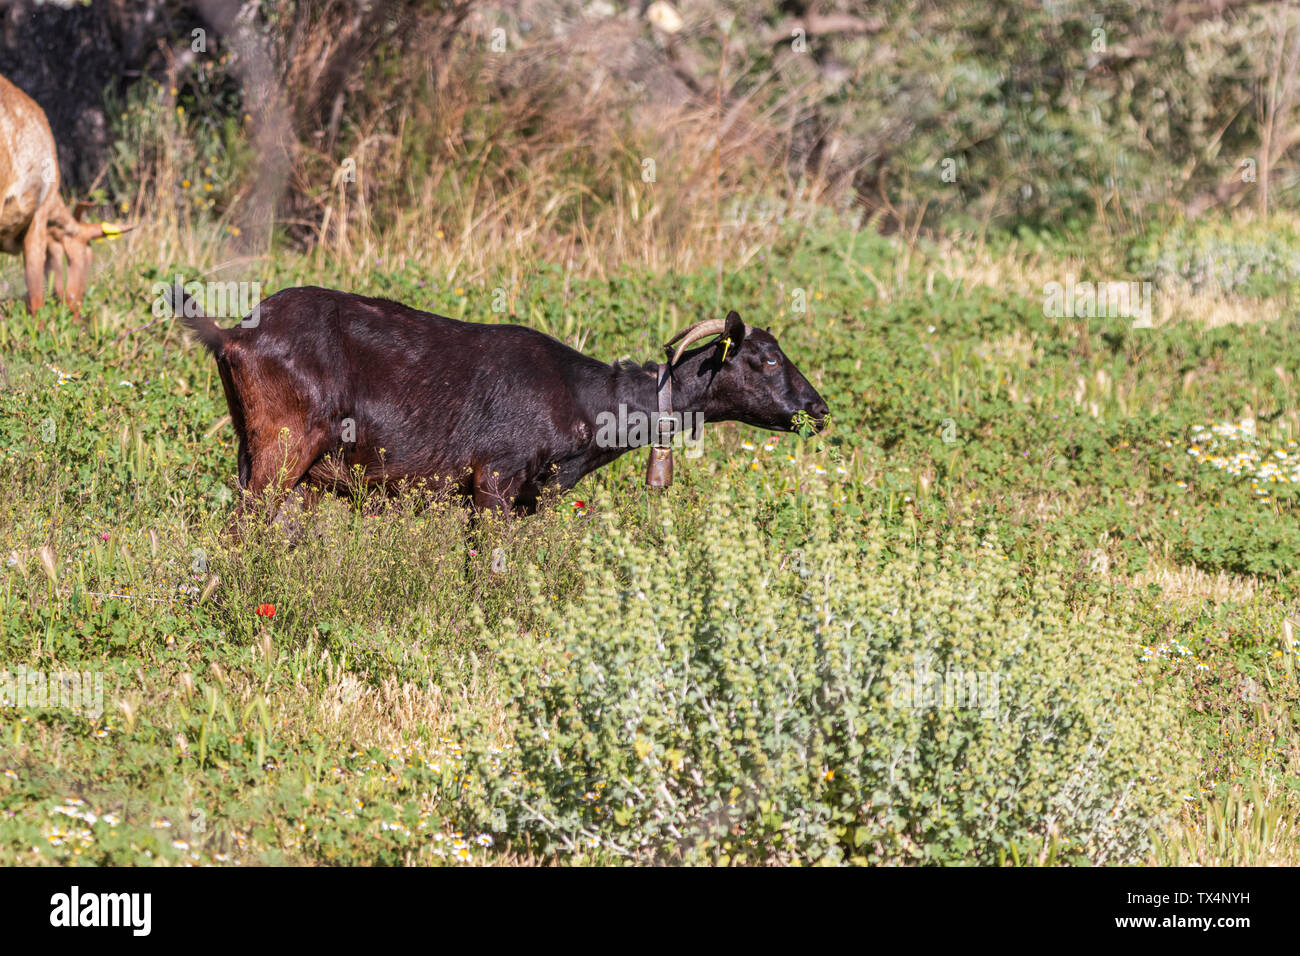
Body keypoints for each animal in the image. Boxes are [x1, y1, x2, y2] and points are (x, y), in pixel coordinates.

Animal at [180, 286, 829, 520]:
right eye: (768, 359)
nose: (819, 410)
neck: (591, 397)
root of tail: (233, 336)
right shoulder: (495, 478)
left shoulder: (531, 496)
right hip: (283, 446)